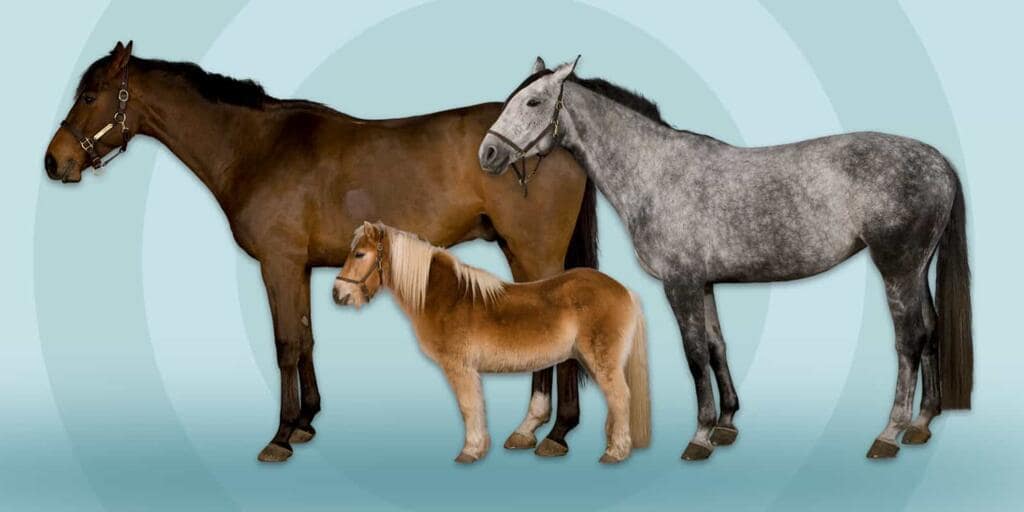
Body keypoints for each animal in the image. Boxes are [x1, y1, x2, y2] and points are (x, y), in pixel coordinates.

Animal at [43, 42, 599, 462]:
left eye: (89, 95)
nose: (54, 162)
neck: (256, 147)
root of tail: (562, 143)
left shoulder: (279, 265)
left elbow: (286, 344)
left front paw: (281, 436)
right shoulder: (302, 269)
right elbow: (306, 339)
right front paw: (306, 422)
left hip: (535, 253)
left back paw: (553, 433)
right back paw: (539, 429)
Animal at [333, 221, 650, 463]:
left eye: (359, 254)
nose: (338, 294)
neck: (445, 297)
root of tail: (625, 291)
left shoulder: (460, 368)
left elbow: (468, 407)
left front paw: (470, 451)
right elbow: (475, 407)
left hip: (601, 361)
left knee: (620, 397)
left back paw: (614, 452)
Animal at [479, 57, 973, 461]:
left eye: (533, 101)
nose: (487, 153)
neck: (655, 173)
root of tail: (938, 162)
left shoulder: (680, 284)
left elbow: (695, 354)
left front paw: (699, 437)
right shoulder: (704, 284)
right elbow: (717, 347)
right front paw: (726, 425)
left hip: (898, 268)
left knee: (909, 340)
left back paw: (889, 433)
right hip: (917, 270)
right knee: (931, 330)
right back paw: (921, 425)